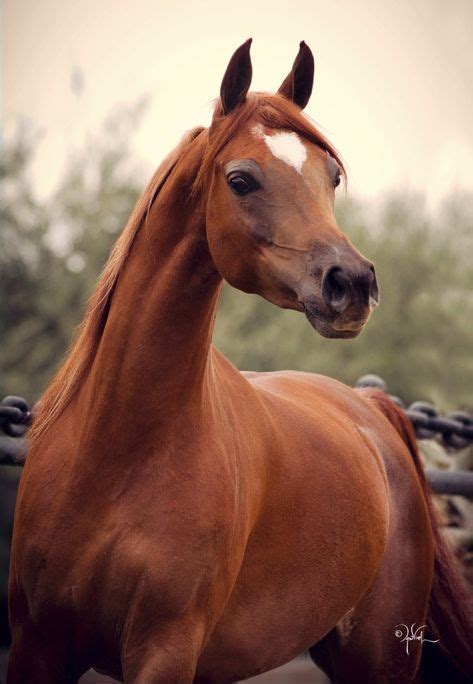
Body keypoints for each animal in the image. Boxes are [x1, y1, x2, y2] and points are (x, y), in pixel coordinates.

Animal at [8, 40, 472, 683]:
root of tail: (370, 405)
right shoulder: (36, 644)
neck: (113, 451)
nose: (353, 284)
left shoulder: (165, 650)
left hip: (380, 657)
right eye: (241, 179)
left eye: (331, 176)